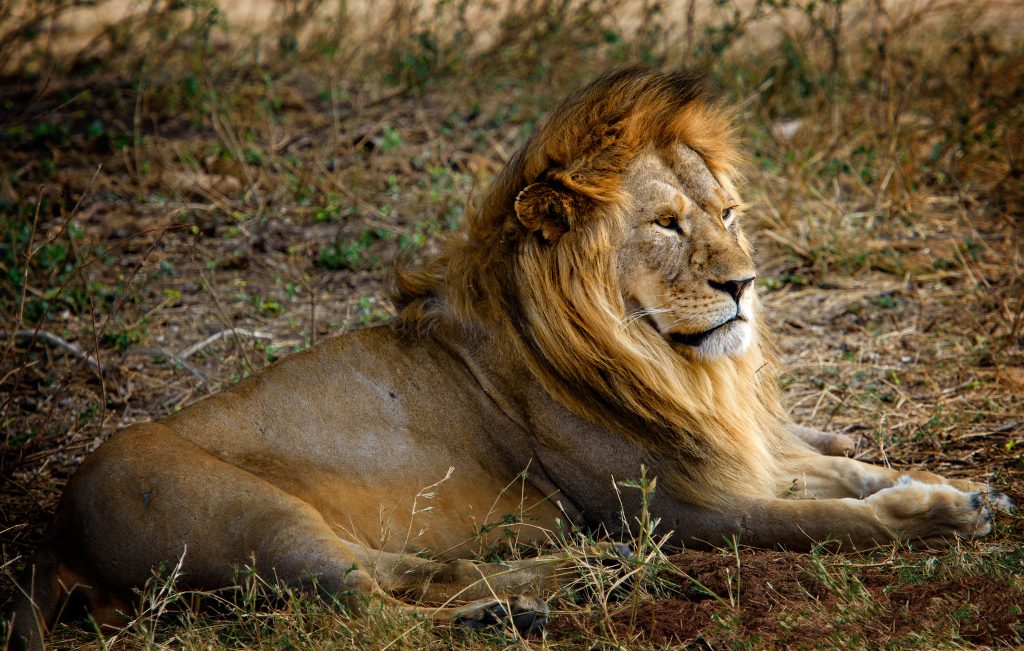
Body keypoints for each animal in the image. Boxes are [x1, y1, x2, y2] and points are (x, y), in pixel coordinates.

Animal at [11, 67, 1010, 649]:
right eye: (665, 224)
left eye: (726, 213)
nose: (745, 283)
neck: (675, 365)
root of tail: (51, 530)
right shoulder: (683, 508)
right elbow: (832, 520)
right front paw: (935, 519)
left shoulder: (739, 455)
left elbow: (848, 474)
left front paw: (960, 489)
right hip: (254, 518)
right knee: (365, 604)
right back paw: (515, 607)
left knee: (406, 572)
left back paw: (555, 584)